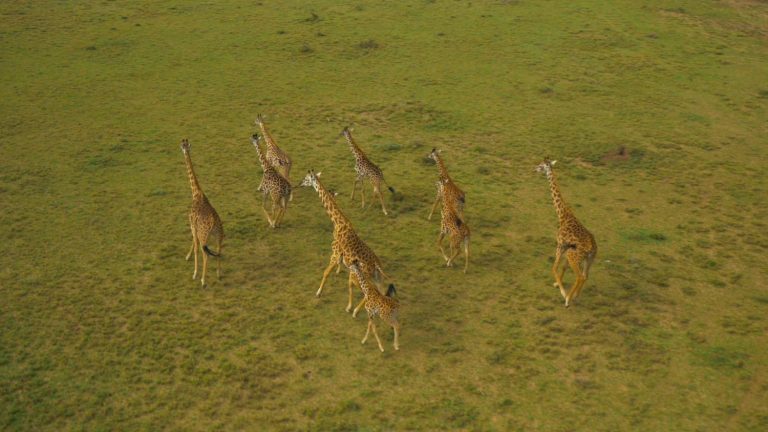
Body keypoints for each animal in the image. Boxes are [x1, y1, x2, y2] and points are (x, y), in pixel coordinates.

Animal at [180, 139, 224, 287]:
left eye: (183, 146)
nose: (183, 148)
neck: (196, 193)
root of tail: (214, 223)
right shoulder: (195, 228)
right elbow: (194, 244)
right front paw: (187, 257)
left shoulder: (192, 225)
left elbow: (195, 247)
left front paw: (194, 273)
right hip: (219, 236)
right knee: (219, 250)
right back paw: (218, 274)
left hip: (204, 236)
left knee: (206, 254)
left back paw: (203, 281)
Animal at [299, 170, 388, 313]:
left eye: (307, 179)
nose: (300, 183)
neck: (338, 222)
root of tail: (377, 264)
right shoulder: (338, 255)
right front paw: (337, 271)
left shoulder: (334, 252)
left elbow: (326, 272)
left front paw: (318, 292)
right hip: (375, 277)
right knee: (380, 292)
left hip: (359, 276)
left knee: (369, 291)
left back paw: (355, 311)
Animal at [535, 158, 597, 307]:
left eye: (541, 166)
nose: (535, 169)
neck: (563, 215)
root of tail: (593, 248)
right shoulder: (566, 247)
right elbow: (562, 267)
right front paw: (557, 284)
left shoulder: (560, 245)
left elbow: (554, 268)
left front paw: (562, 291)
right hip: (588, 259)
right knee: (585, 276)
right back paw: (576, 296)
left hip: (573, 256)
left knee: (579, 276)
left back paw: (568, 299)